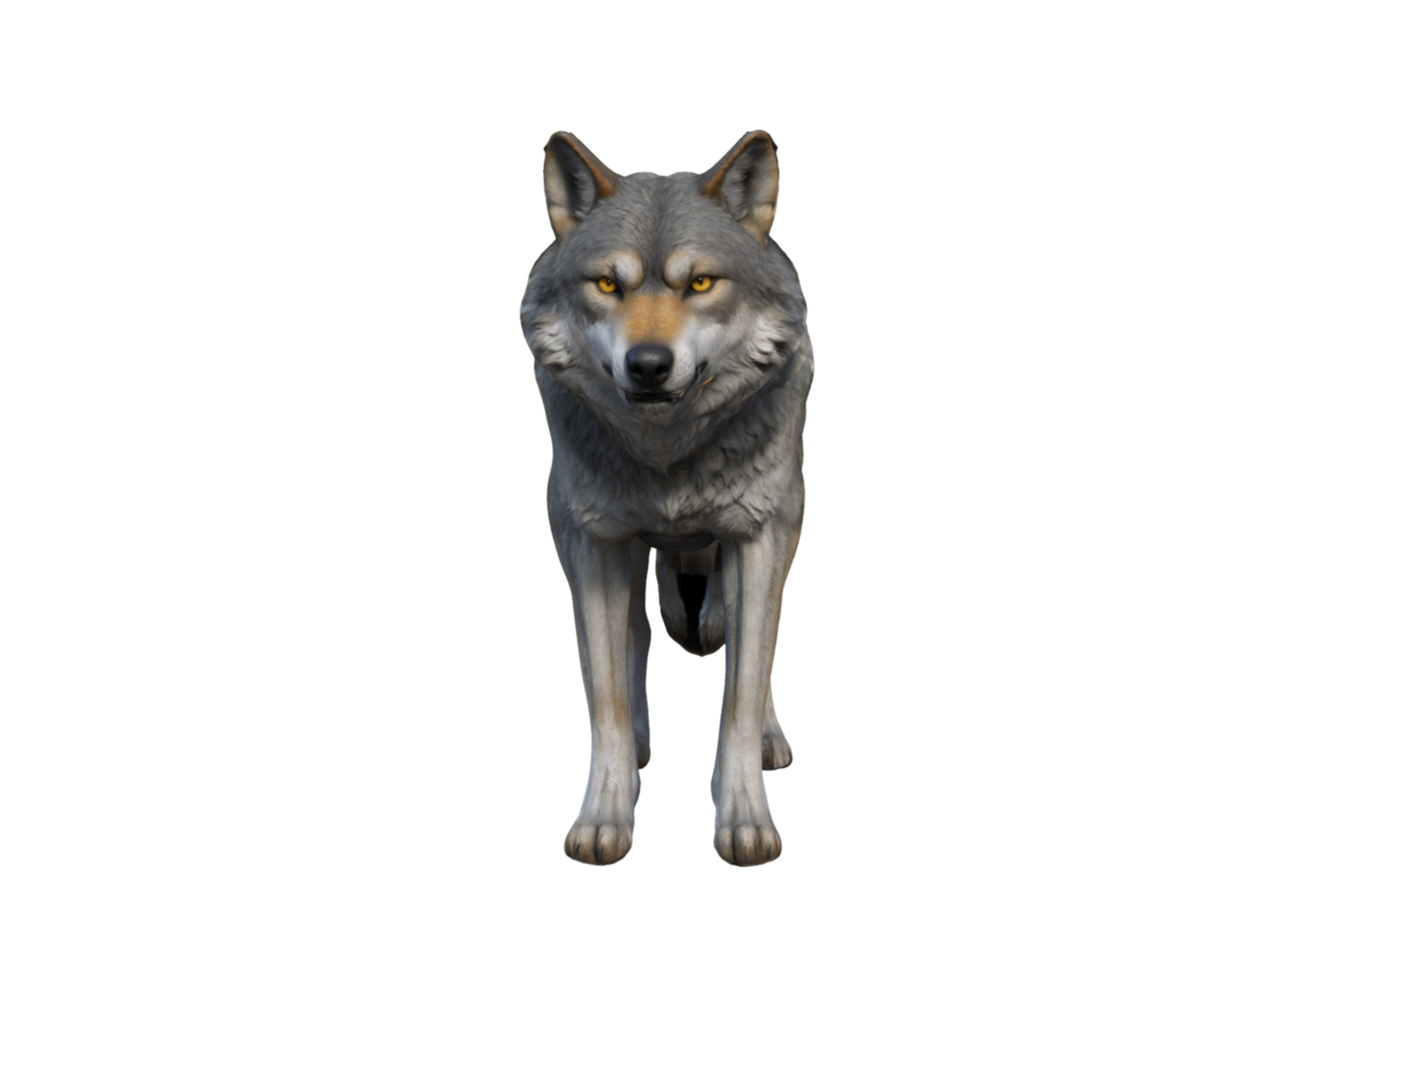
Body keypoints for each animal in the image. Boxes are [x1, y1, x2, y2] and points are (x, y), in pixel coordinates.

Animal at [520, 131, 811, 866]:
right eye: (607, 284)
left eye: (699, 282)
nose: (648, 365)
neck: (667, 457)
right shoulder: (591, 542)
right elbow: (606, 700)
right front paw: (604, 816)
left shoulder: (759, 534)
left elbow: (742, 688)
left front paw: (745, 820)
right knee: (639, 635)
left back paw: (768, 738)